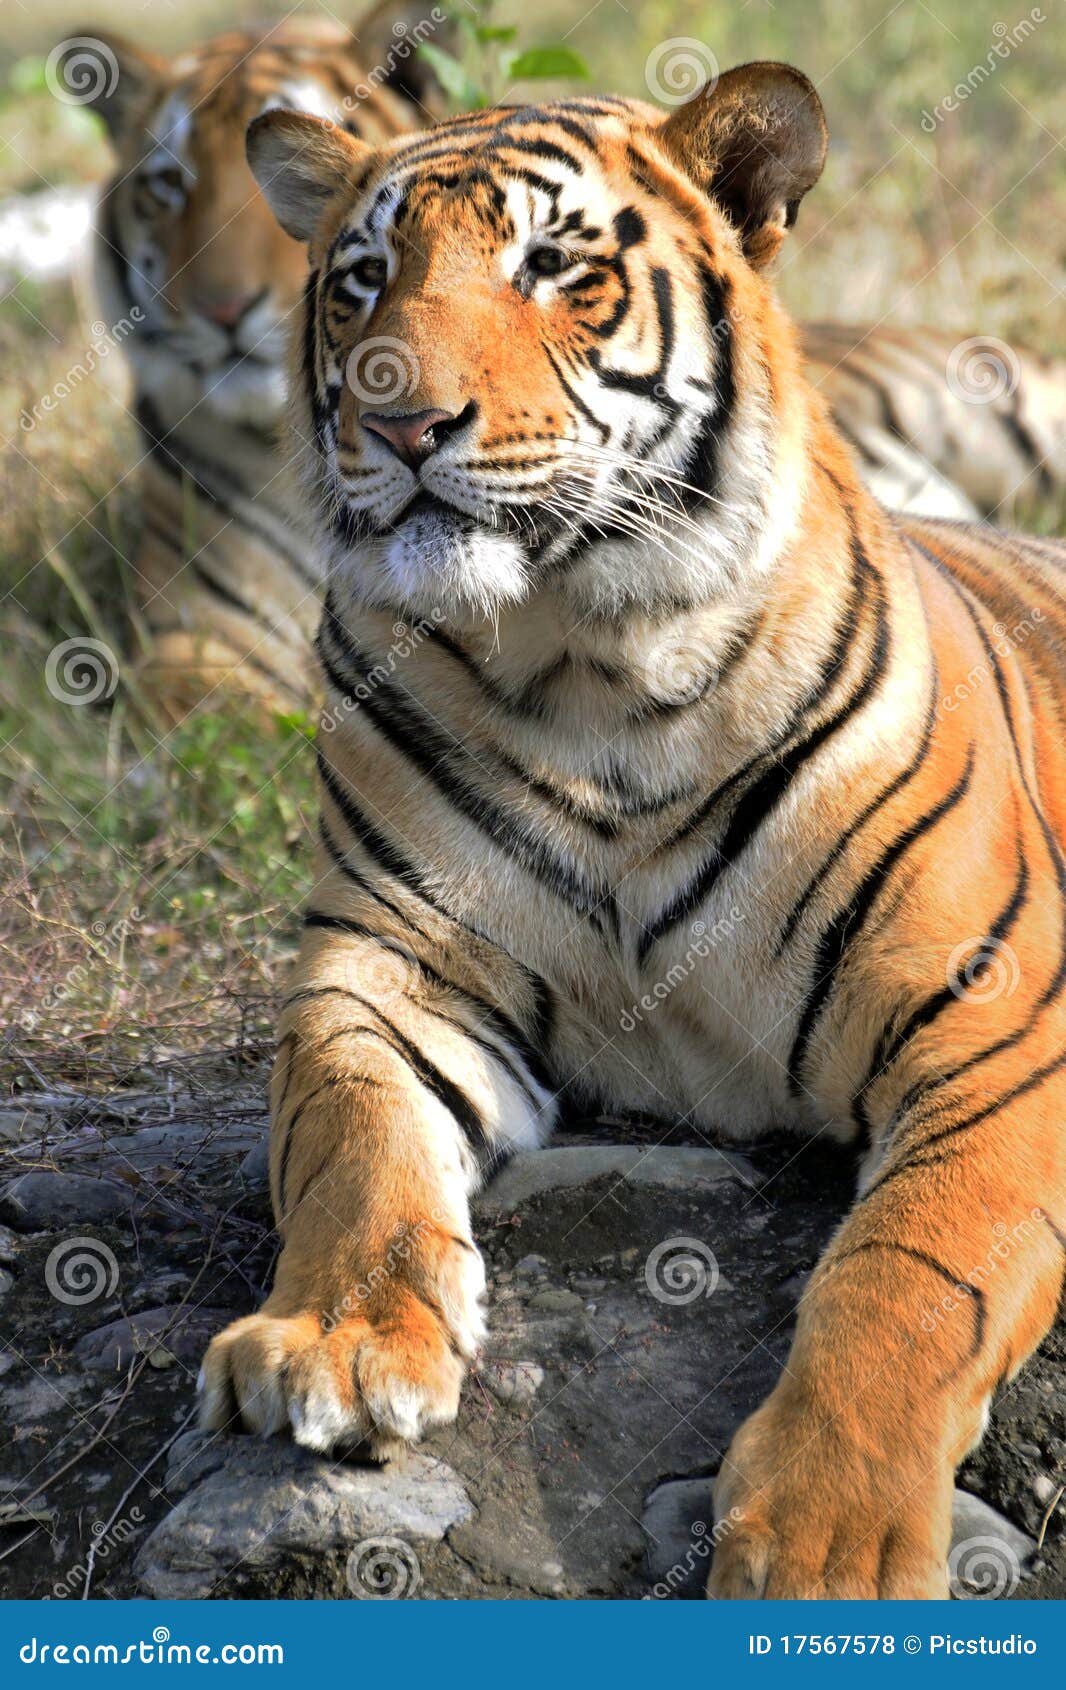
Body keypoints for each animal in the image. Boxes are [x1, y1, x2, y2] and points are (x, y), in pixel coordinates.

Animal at [195, 63, 1066, 1599]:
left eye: (554, 266)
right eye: (362, 281)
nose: (394, 418)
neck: (586, 669)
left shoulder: (994, 1019)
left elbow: (913, 1264)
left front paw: (830, 1537)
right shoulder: (384, 966)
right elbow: (349, 1138)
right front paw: (337, 1342)